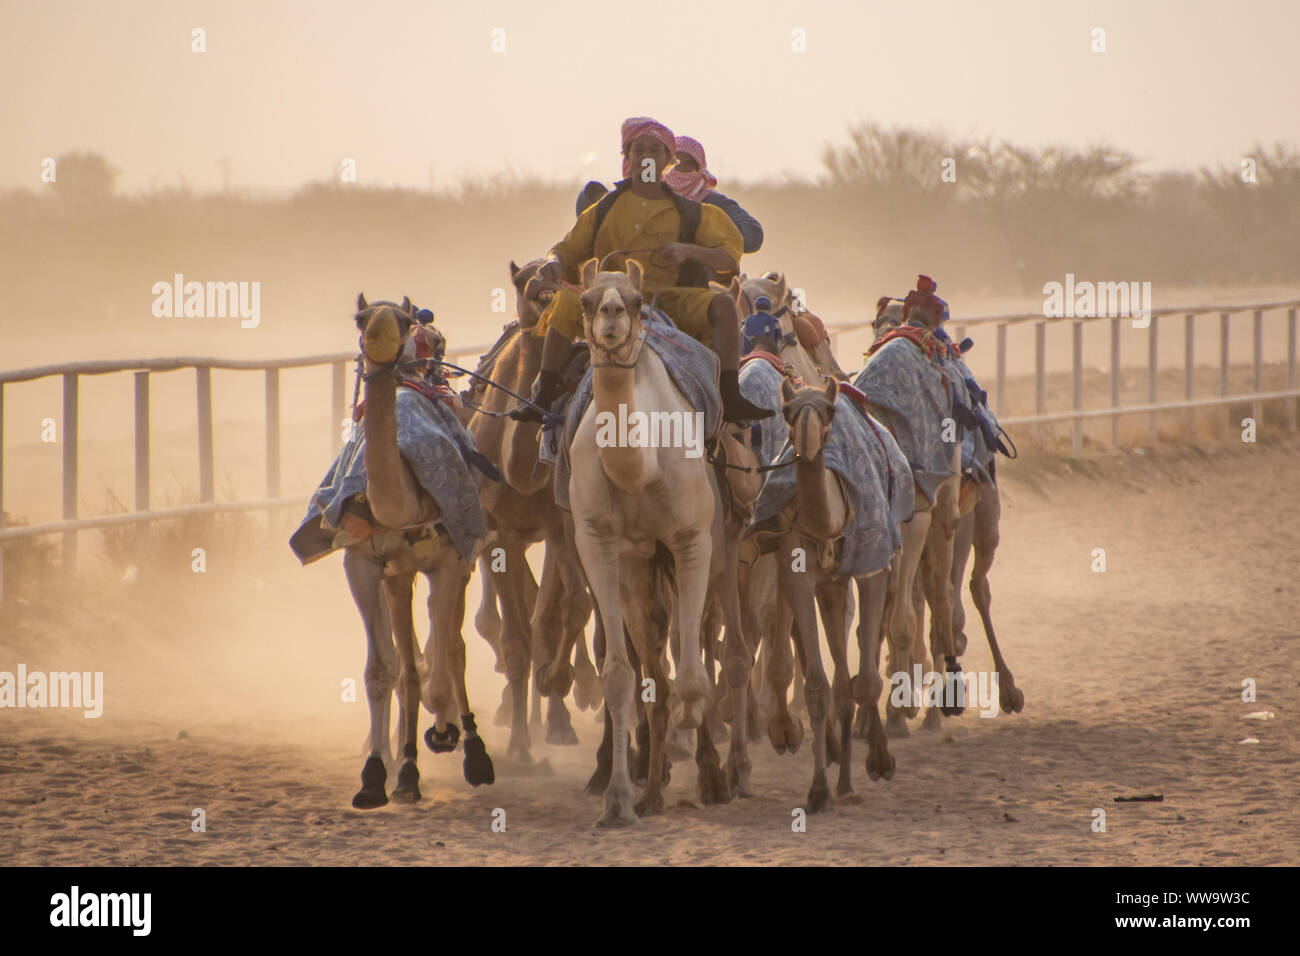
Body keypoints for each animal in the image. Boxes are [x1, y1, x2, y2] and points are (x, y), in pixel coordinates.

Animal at [337, 296, 495, 808]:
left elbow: (444, 662)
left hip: (461, 559)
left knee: (452, 644)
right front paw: (377, 775)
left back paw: (463, 743)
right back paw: (399, 761)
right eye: (361, 319)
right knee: (407, 657)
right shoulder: (365, 565)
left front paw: (452, 739)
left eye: (405, 322)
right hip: (400, 575)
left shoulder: (448, 560)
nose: (381, 339)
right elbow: (383, 669)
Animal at [465, 260, 602, 763]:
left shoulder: (559, 525)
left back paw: (565, 708)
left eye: (561, 278)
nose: (549, 274)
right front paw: (521, 749)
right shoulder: (499, 534)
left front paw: (559, 683)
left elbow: (565, 610)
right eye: (526, 281)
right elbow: (516, 639)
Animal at [567, 258, 752, 826]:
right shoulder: (601, 546)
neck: (639, 467)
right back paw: (651, 791)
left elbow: (694, 677)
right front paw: (618, 800)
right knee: (654, 664)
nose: (610, 316)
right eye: (585, 300)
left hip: (724, 548)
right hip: (641, 567)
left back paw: (726, 774)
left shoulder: (693, 540)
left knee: (726, 652)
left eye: (633, 301)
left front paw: (693, 735)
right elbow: (621, 676)